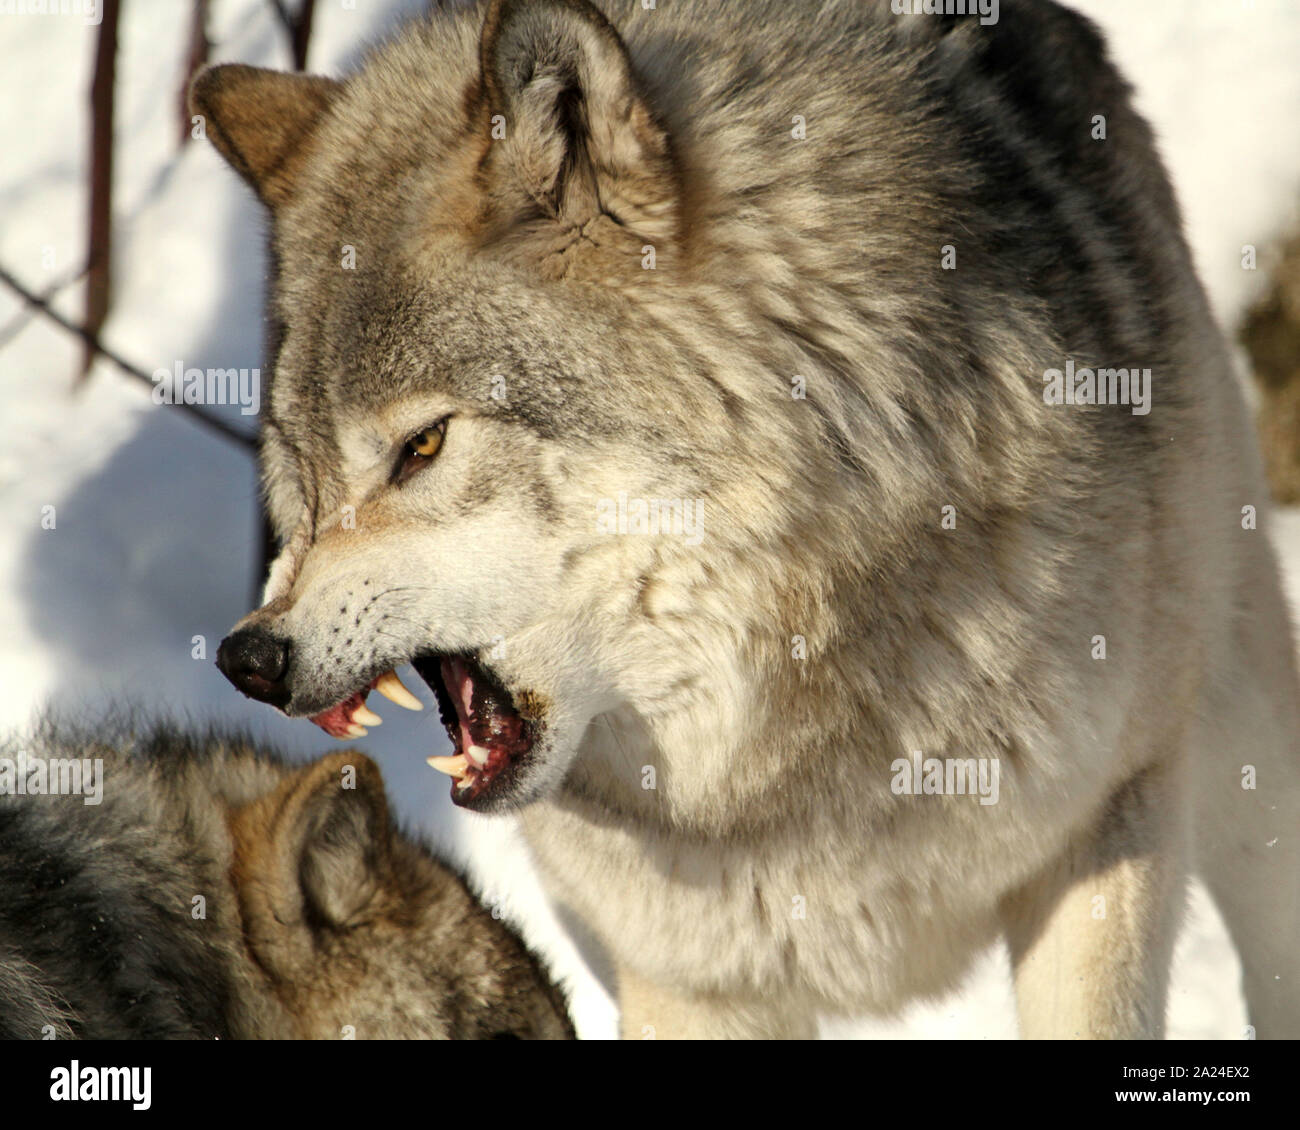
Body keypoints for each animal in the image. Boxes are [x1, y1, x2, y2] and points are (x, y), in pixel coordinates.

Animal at [194, 0, 1300, 1038]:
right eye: (303, 470)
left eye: (422, 446)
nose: (249, 657)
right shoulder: (692, 978)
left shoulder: (1105, 830)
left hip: (1239, 739)